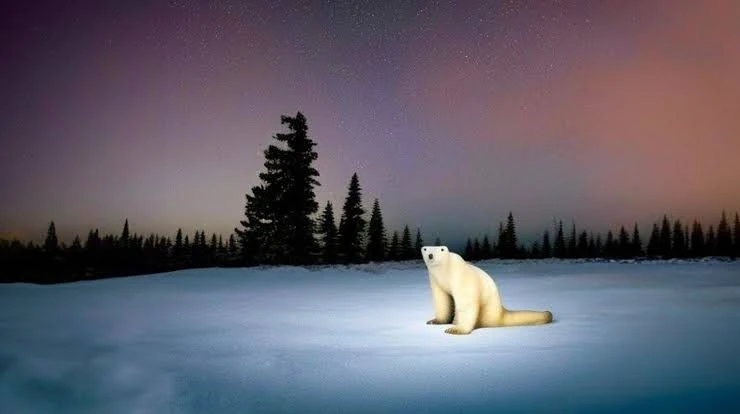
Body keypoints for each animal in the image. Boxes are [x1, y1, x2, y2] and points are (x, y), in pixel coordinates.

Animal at [421, 246, 553, 335]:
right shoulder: (436, 281)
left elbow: (467, 301)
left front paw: (455, 329)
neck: (445, 271)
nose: (430, 255)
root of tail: (500, 312)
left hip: (487, 310)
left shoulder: (461, 276)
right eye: (425, 249)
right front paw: (434, 321)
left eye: (441, 249)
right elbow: (442, 299)